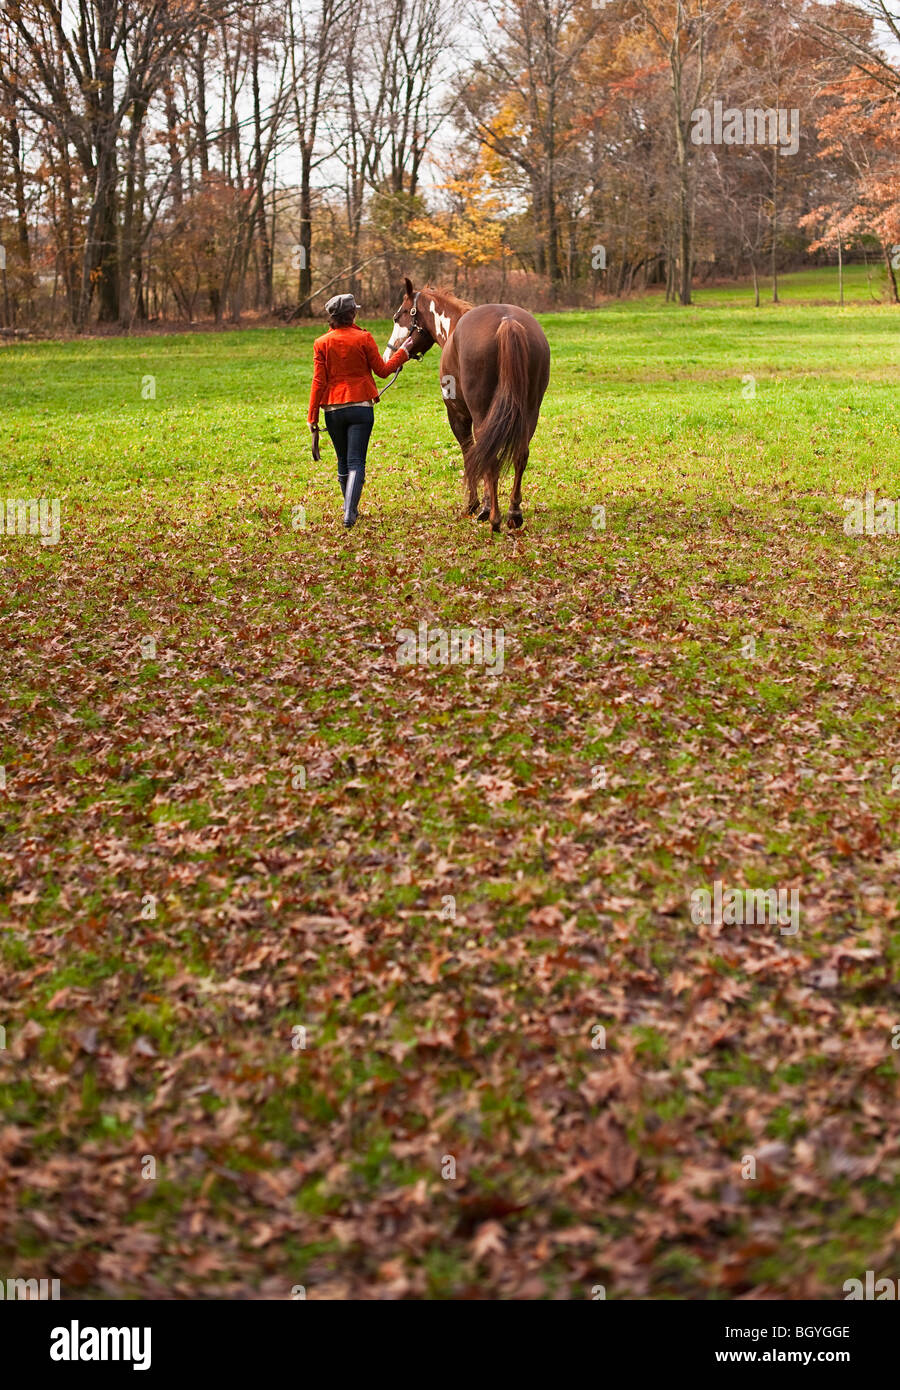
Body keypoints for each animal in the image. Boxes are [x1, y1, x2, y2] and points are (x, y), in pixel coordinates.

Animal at [385, 278, 550, 532]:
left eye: (397, 316)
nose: (388, 355)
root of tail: (507, 321)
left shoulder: (458, 416)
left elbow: (469, 453)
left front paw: (477, 505)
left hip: (483, 415)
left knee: (490, 457)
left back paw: (494, 518)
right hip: (529, 413)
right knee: (520, 456)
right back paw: (514, 512)